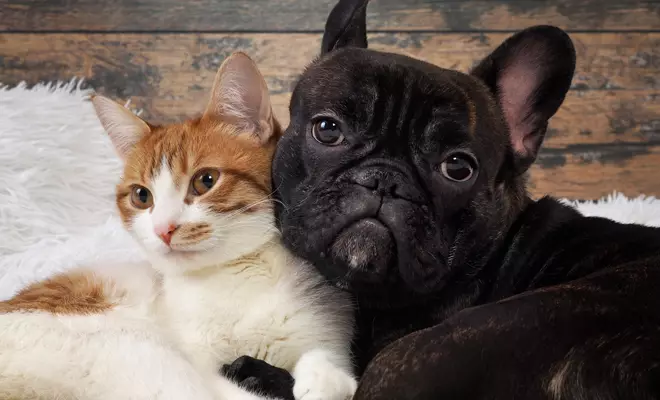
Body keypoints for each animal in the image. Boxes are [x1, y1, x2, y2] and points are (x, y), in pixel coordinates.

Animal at [0, 51, 356, 400]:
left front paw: (323, 375)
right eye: (142, 196)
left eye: (205, 181)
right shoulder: (199, 366)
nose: (163, 229)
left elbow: (327, 360)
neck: (235, 277)